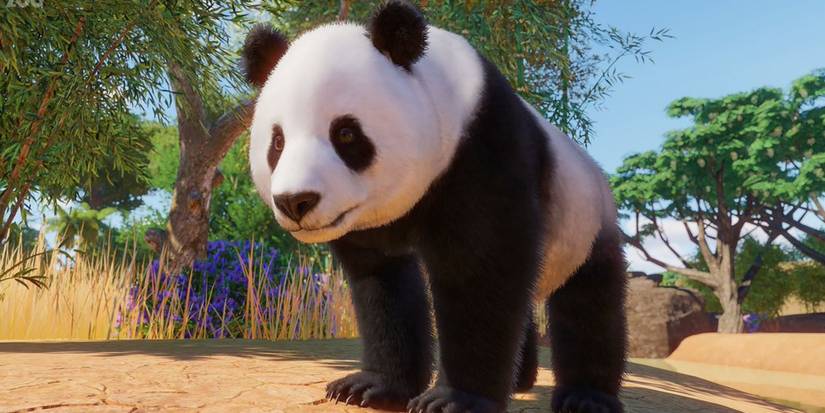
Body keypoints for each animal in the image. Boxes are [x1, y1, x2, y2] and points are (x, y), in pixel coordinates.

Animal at [242, 2, 627, 413]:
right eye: (277, 143)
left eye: (345, 133)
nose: (295, 201)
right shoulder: (367, 227)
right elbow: (382, 285)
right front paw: (372, 386)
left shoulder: (482, 152)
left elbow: (478, 271)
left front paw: (455, 400)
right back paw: (521, 379)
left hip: (584, 222)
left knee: (589, 305)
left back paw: (586, 397)